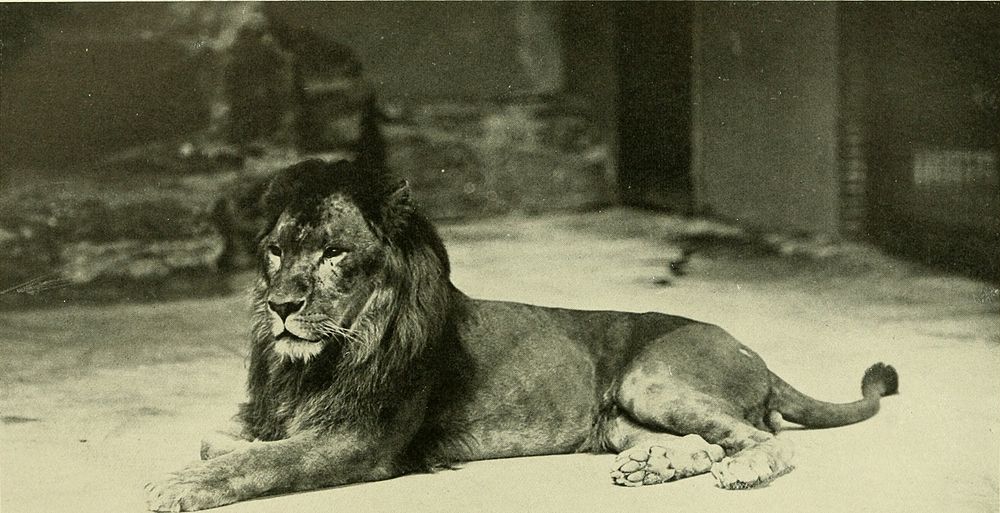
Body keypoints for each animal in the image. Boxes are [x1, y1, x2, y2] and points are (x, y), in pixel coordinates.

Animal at [146, 159, 899, 511]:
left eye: (333, 254)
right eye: (275, 250)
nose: (280, 305)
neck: (318, 359)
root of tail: (756, 352)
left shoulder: (361, 440)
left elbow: (260, 460)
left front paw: (175, 481)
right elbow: (228, 439)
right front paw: (214, 453)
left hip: (652, 377)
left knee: (763, 441)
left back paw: (739, 471)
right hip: (620, 418)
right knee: (705, 442)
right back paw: (651, 467)